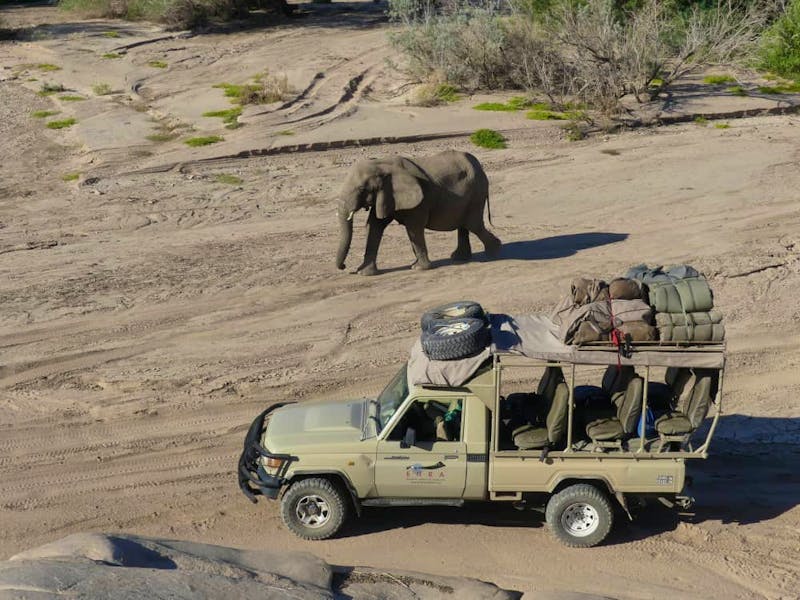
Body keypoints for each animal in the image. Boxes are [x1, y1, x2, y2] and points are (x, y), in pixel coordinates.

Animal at [335, 150, 501, 276]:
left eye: (362, 189)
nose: (344, 267)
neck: (381, 164)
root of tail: (479, 166)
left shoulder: (418, 201)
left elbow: (413, 228)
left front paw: (418, 268)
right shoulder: (387, 195)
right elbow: (374, 226)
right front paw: (364, 273)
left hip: (477, 193)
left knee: (473, 225)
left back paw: (494, 252)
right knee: (465, 226)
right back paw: (459, 258)